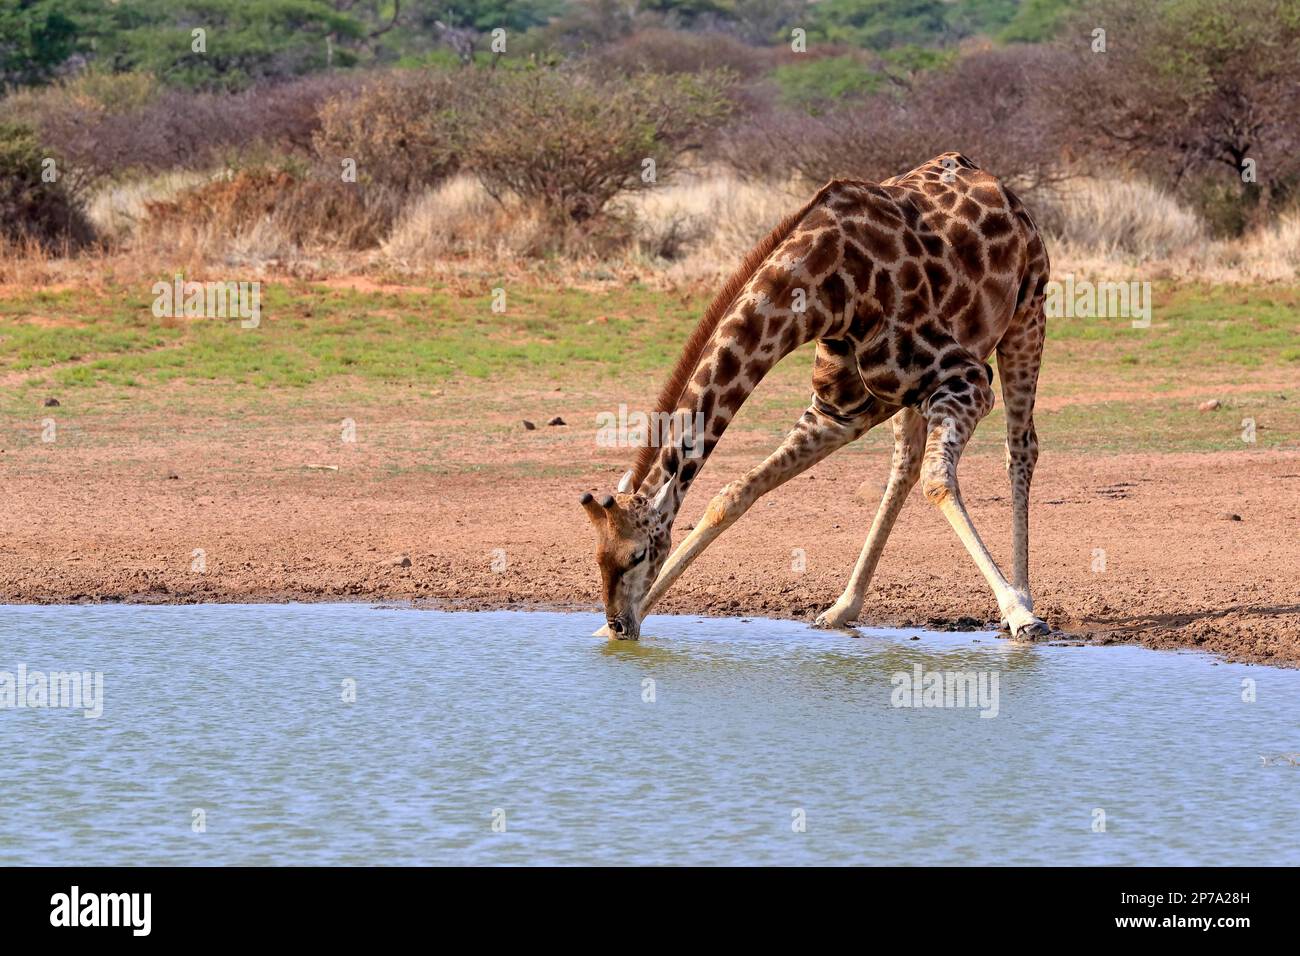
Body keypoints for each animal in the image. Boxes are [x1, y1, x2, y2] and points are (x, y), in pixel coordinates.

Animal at [581, 152, 1050, 642]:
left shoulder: (968, 380)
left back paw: (1023, 601)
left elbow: (938, 481)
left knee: (1020, 447)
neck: (825, 291)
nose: (619, 624)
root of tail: (988, 177)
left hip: (1027, 313)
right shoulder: (838, 410)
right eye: (596, 557)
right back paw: (842, 608)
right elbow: (733, 493)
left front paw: (1018, 612)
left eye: (637, 555)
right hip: (904, 398)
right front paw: (601, 634)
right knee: (904, 466)